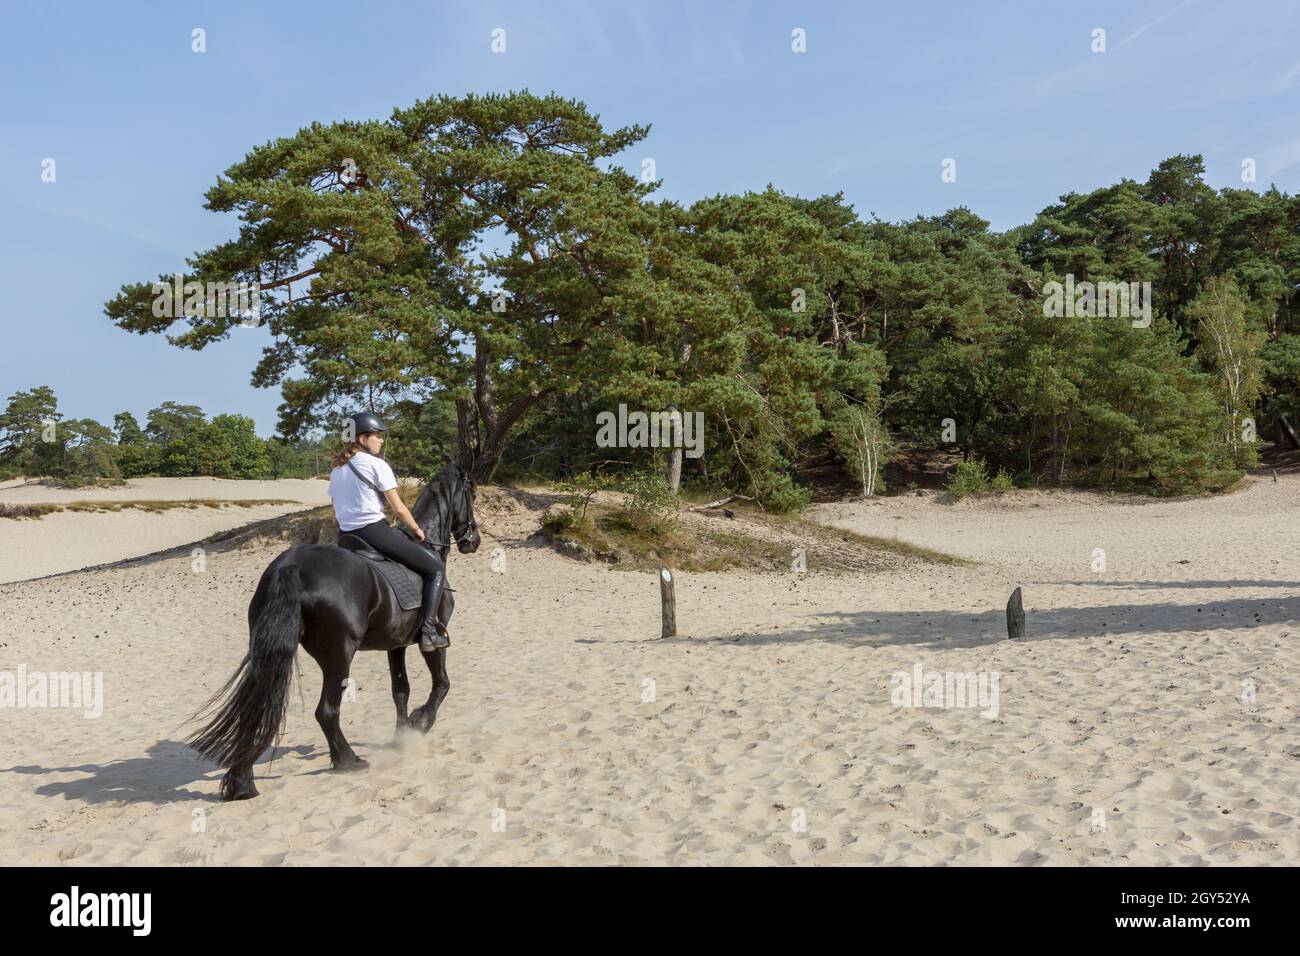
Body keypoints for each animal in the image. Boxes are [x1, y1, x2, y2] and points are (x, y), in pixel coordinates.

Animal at [187, 459, 481, 800]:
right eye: (472, 493)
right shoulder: (432, 639)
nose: (473, 541)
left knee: (259, 708)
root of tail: (290, 566)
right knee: (326, 711)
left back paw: (242, 781)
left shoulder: (395, 644)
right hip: (339, 657)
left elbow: (400, 691)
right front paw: (420, 723)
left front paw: (400, 737)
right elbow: (442, 683)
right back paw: (348, 761)